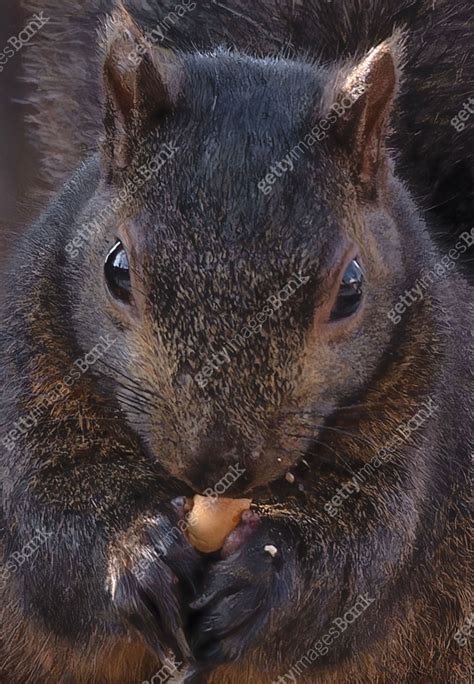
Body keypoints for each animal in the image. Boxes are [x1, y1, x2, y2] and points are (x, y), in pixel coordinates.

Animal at [1, 0, 472, 682]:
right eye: (117, 269)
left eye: (351, 288)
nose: (220, 466)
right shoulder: (29, 360)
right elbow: (44, 520)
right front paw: (135, 552)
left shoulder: (423, 412)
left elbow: (365, 555)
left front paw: (266, 577)